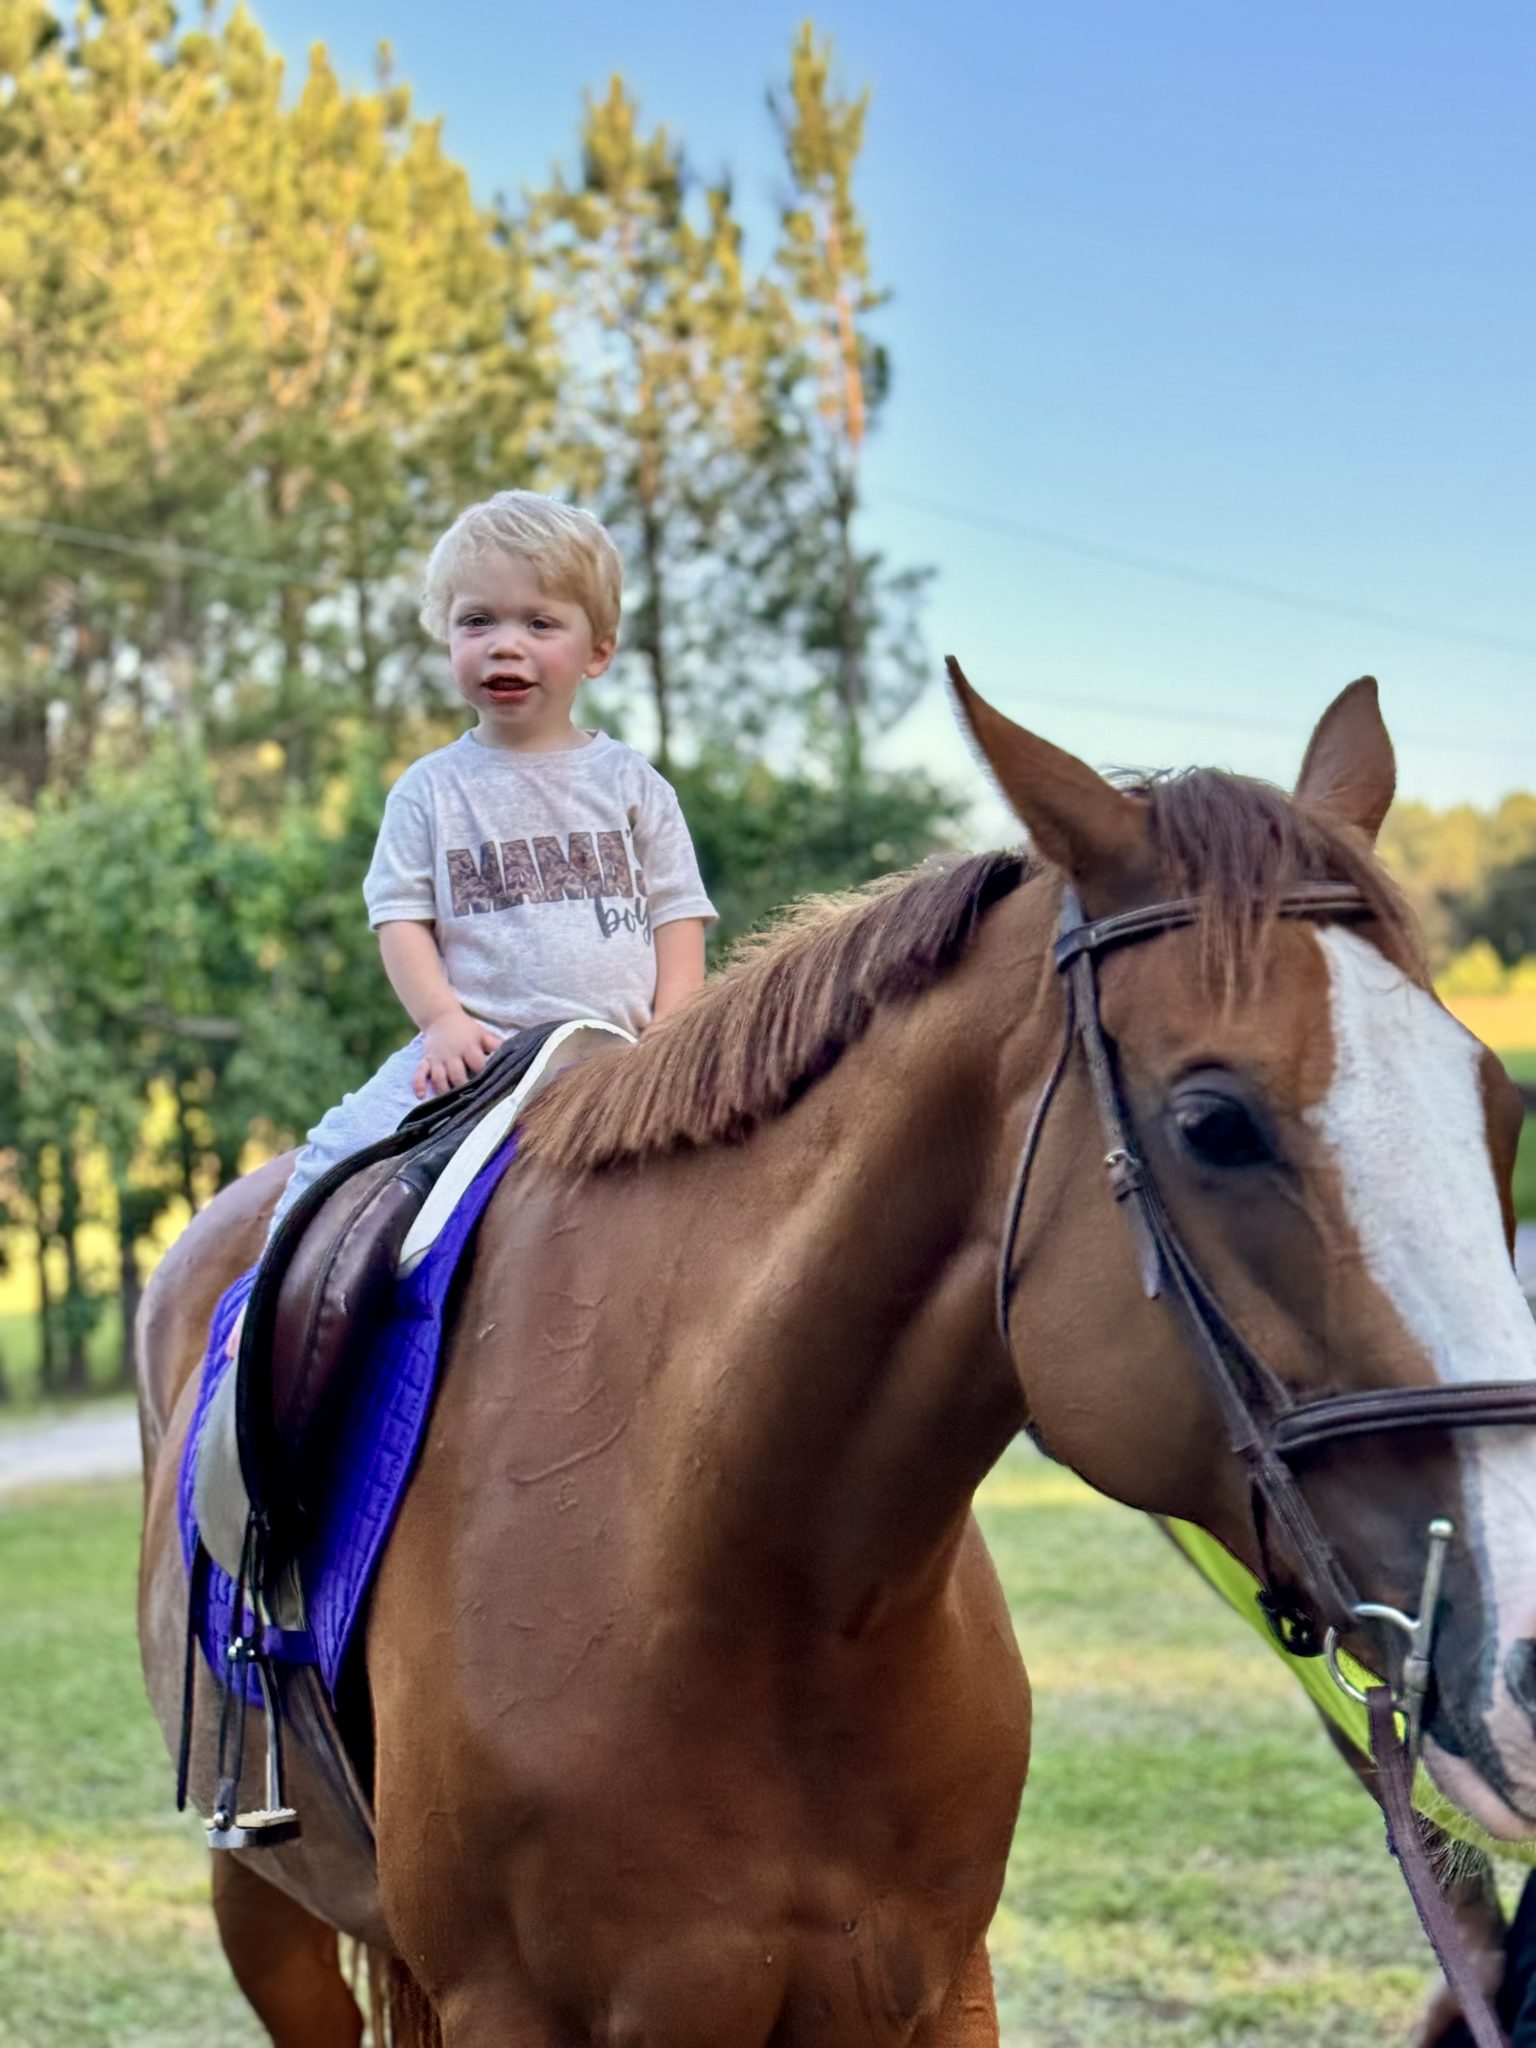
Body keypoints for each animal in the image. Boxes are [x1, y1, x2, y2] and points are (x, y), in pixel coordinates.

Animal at [137, 667, 1536, 2045]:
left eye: (1495, 1105)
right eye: (1213, 1122)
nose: (1524, 1663)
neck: (732, 1581)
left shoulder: (934, 1984)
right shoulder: (513, 2008)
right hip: (261, 1902)